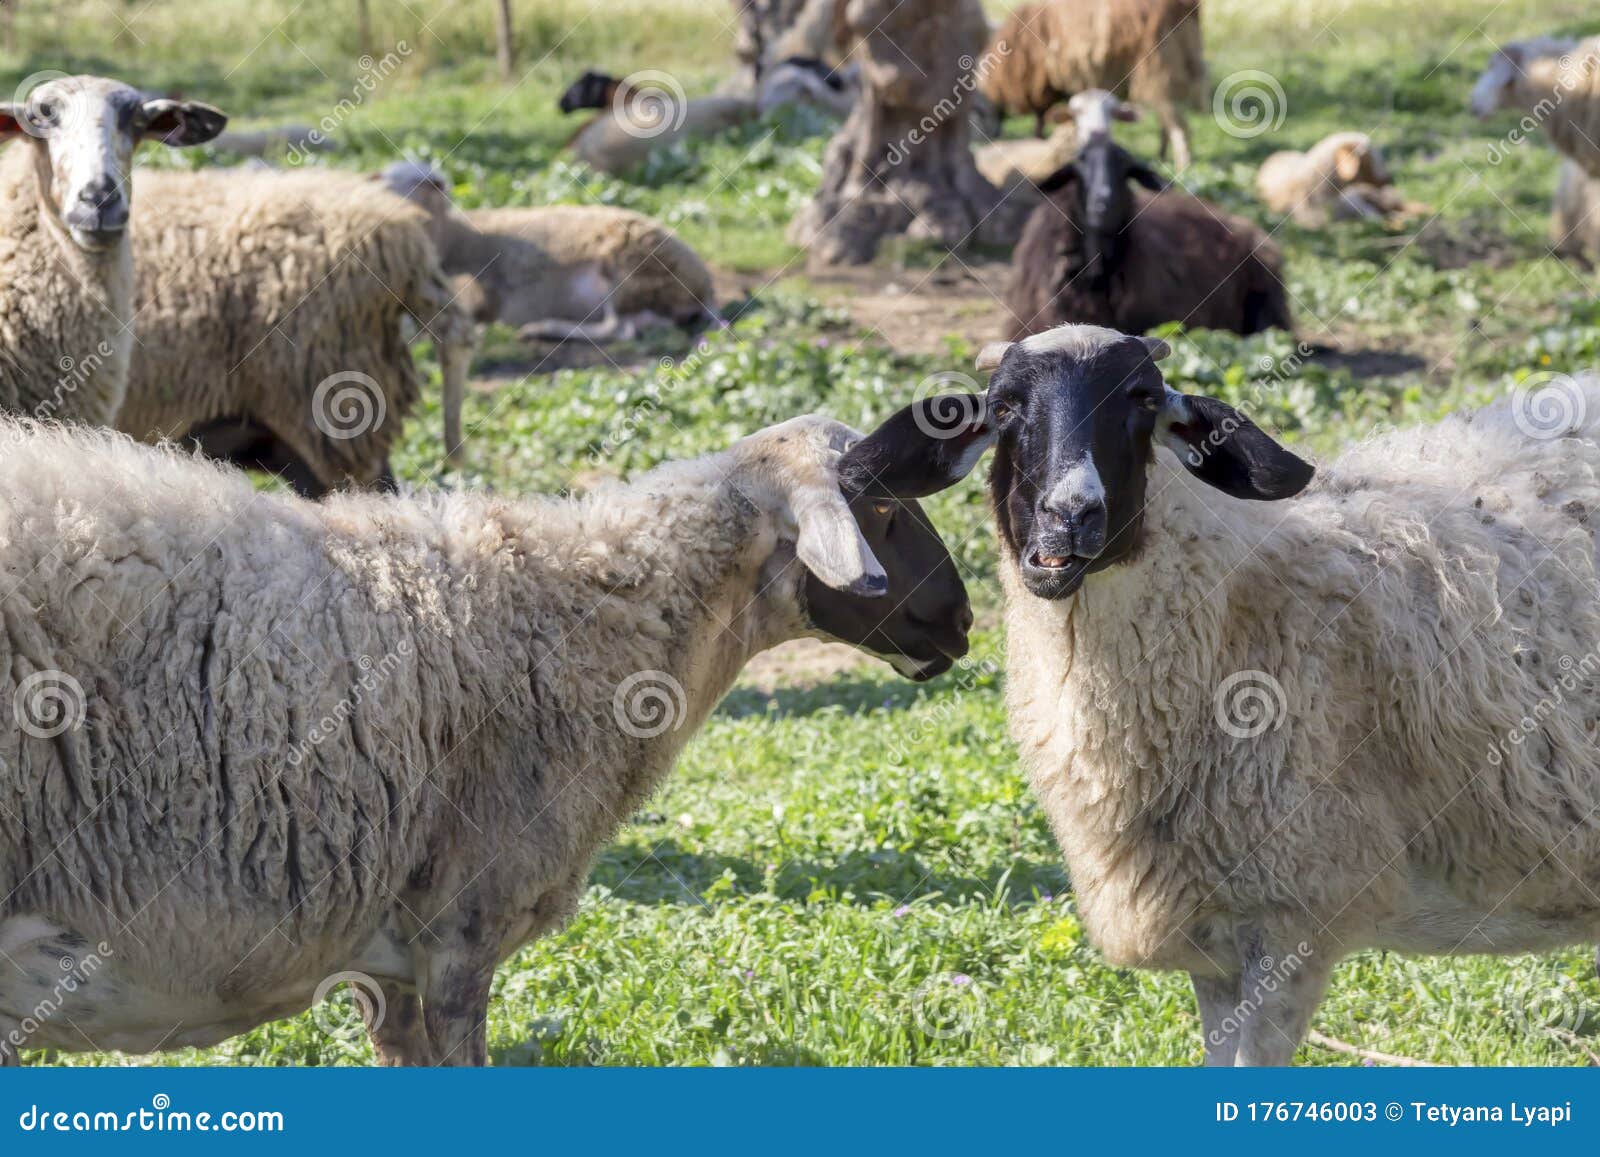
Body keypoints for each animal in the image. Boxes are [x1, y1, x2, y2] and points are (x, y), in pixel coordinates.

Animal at [979, 0, 1206, 168]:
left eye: (981, 113)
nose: (991, 138)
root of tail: (1185, 8)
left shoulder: (1041, 83)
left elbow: (1040, 118)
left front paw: (1039, 142)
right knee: (1168, 121)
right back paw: (1162, 155)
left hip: (1158, 71)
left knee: (1177, 126)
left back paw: (1182, 165)